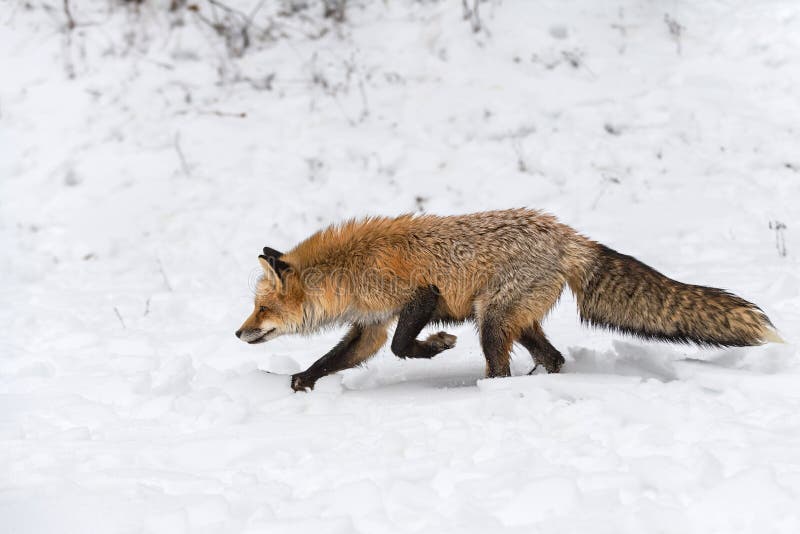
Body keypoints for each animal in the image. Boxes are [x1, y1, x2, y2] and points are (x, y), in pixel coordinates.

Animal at [235, 209, 782, 392]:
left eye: (262, 310)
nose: (239, 333)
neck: (349, 271)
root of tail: (568, 236)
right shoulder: (371, 323)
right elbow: (339, 357)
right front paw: (303, 382)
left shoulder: (421, 294)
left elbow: (402, 347)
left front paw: (437, 346)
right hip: (516, 319)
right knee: (554, 358)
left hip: (491, 319)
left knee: (502, 367)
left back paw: (490, 393)